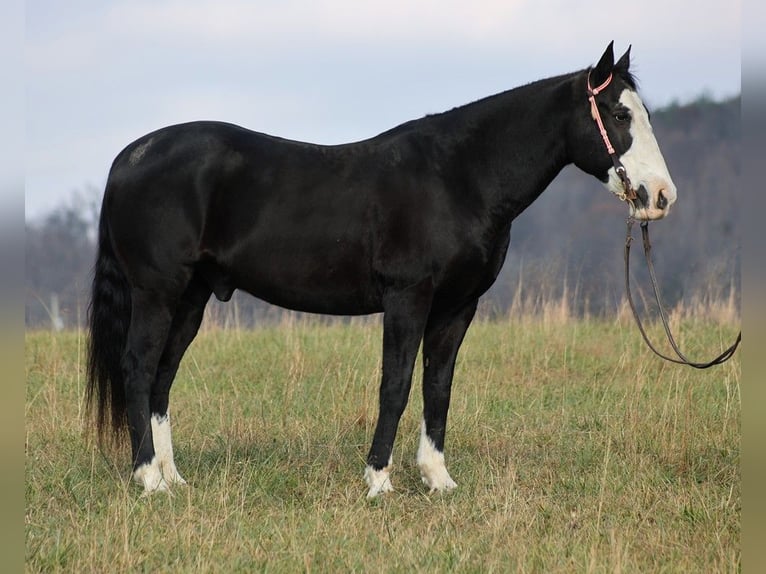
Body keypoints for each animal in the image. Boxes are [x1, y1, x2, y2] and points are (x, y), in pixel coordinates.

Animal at [86, 42, 677, 498]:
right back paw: (149, 480)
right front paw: (378, 480)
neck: (458, 177)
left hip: (191, 298)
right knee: (138, 367)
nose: (661, 196)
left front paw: (438, 480)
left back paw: (173, 477)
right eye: (620, 116)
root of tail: (130, 156)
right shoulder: (407, 298)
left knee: (162, 376)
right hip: (157, 292)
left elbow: (438, 386)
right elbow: (395, 384)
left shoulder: (457, 307)